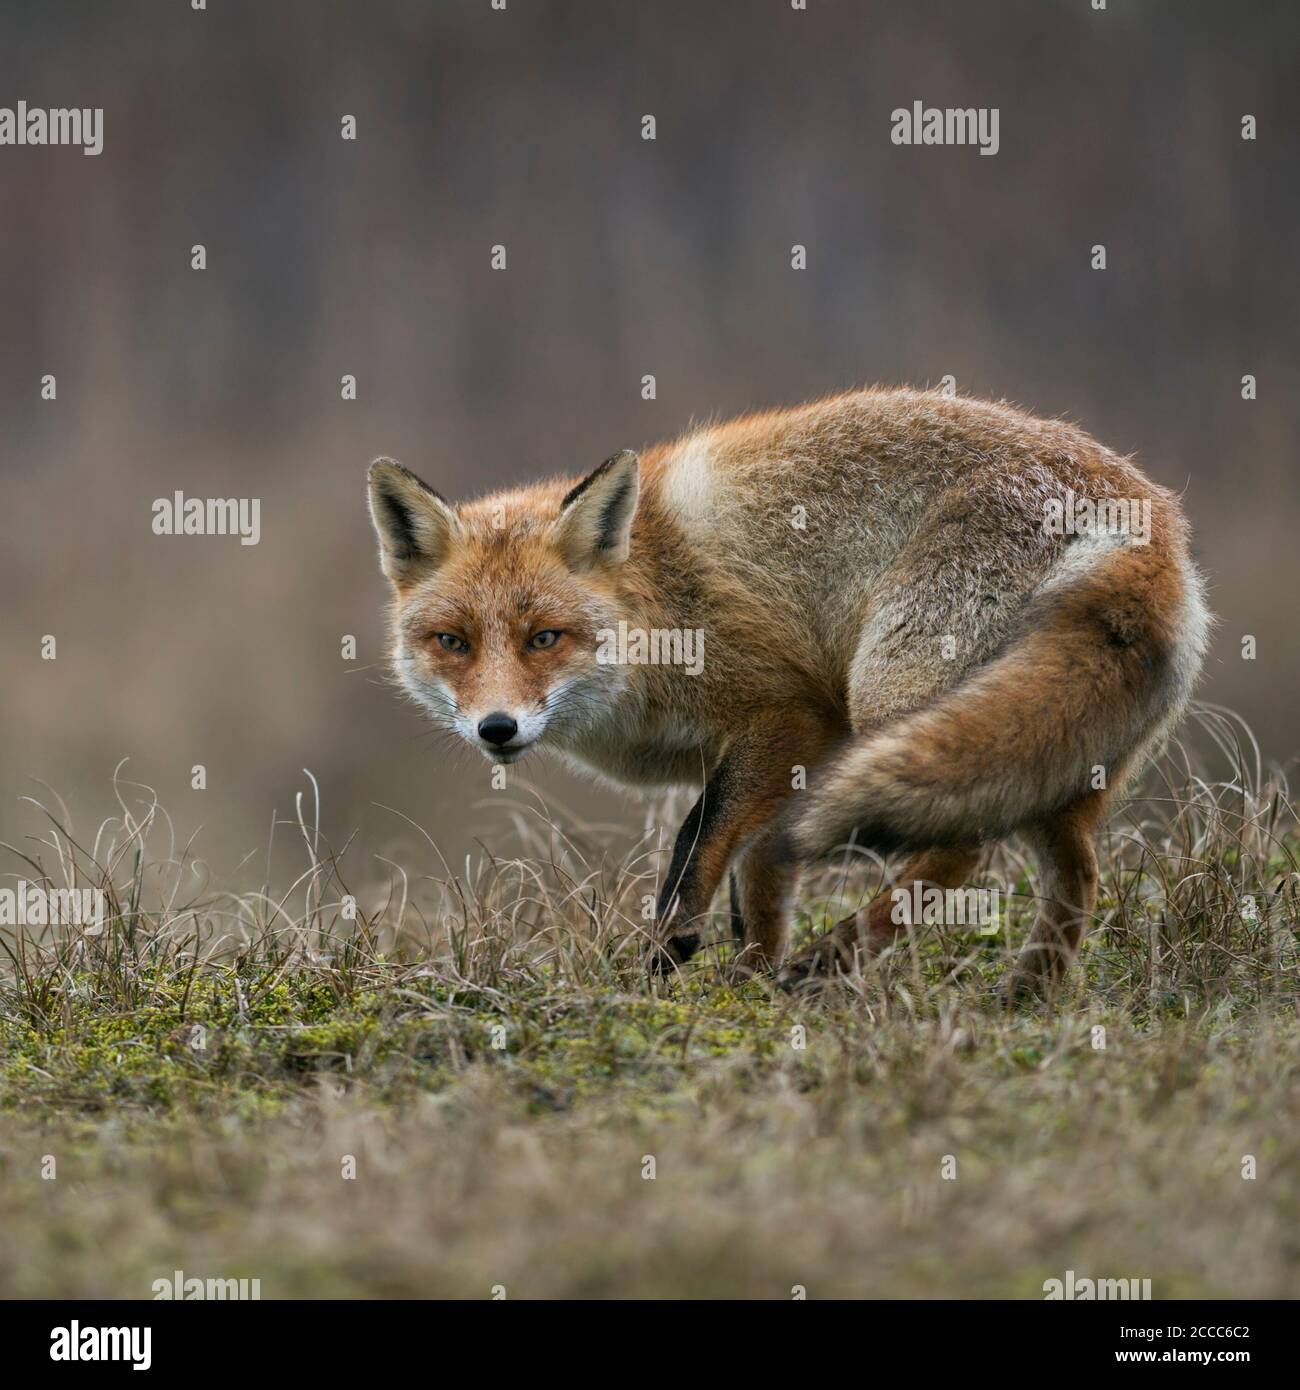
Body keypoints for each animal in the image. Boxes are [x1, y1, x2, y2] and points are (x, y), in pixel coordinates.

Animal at [367, 388, 1211, 994]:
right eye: (453, 643)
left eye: (545, 637)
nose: (497, 728)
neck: (657, 604)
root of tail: (1149, 519)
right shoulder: (784, 755)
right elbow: (759, 879)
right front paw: (747, 983)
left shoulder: (789, 714)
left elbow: (700, 845)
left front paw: (666, 964)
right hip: (1051, 749)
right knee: (1077, 868)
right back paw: (1027, 996)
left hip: (897, 702)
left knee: (961, 846)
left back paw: (831, 962)